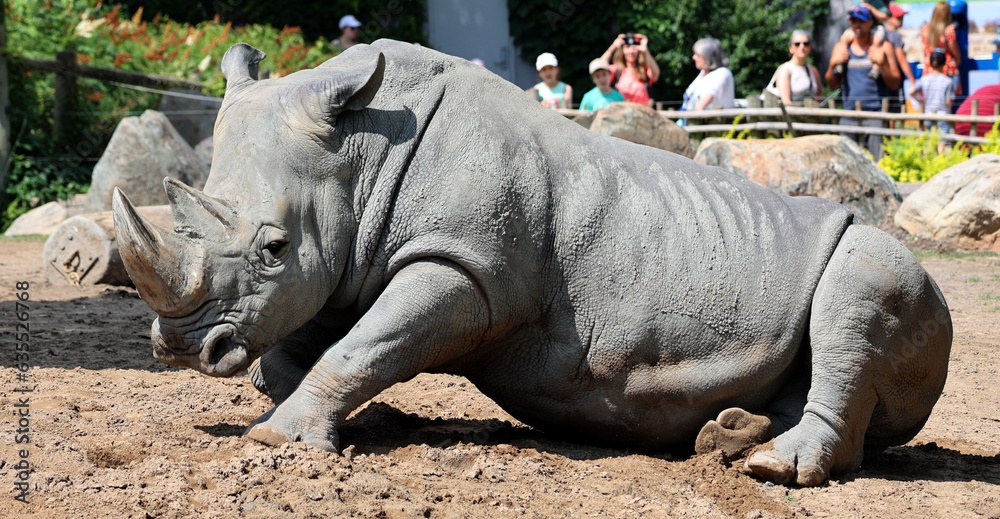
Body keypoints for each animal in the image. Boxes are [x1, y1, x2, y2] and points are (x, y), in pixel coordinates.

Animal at [112, 41, 952, 486]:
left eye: (274, 248)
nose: (185, 347)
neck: (360, 155)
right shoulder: (346, 264)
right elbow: (306, 346)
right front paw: (328, 413)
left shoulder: (464, 269)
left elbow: (361, 345)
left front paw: (277, 442)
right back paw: (729, 437)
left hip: (899, 266)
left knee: (862, 283)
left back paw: (774, 466)